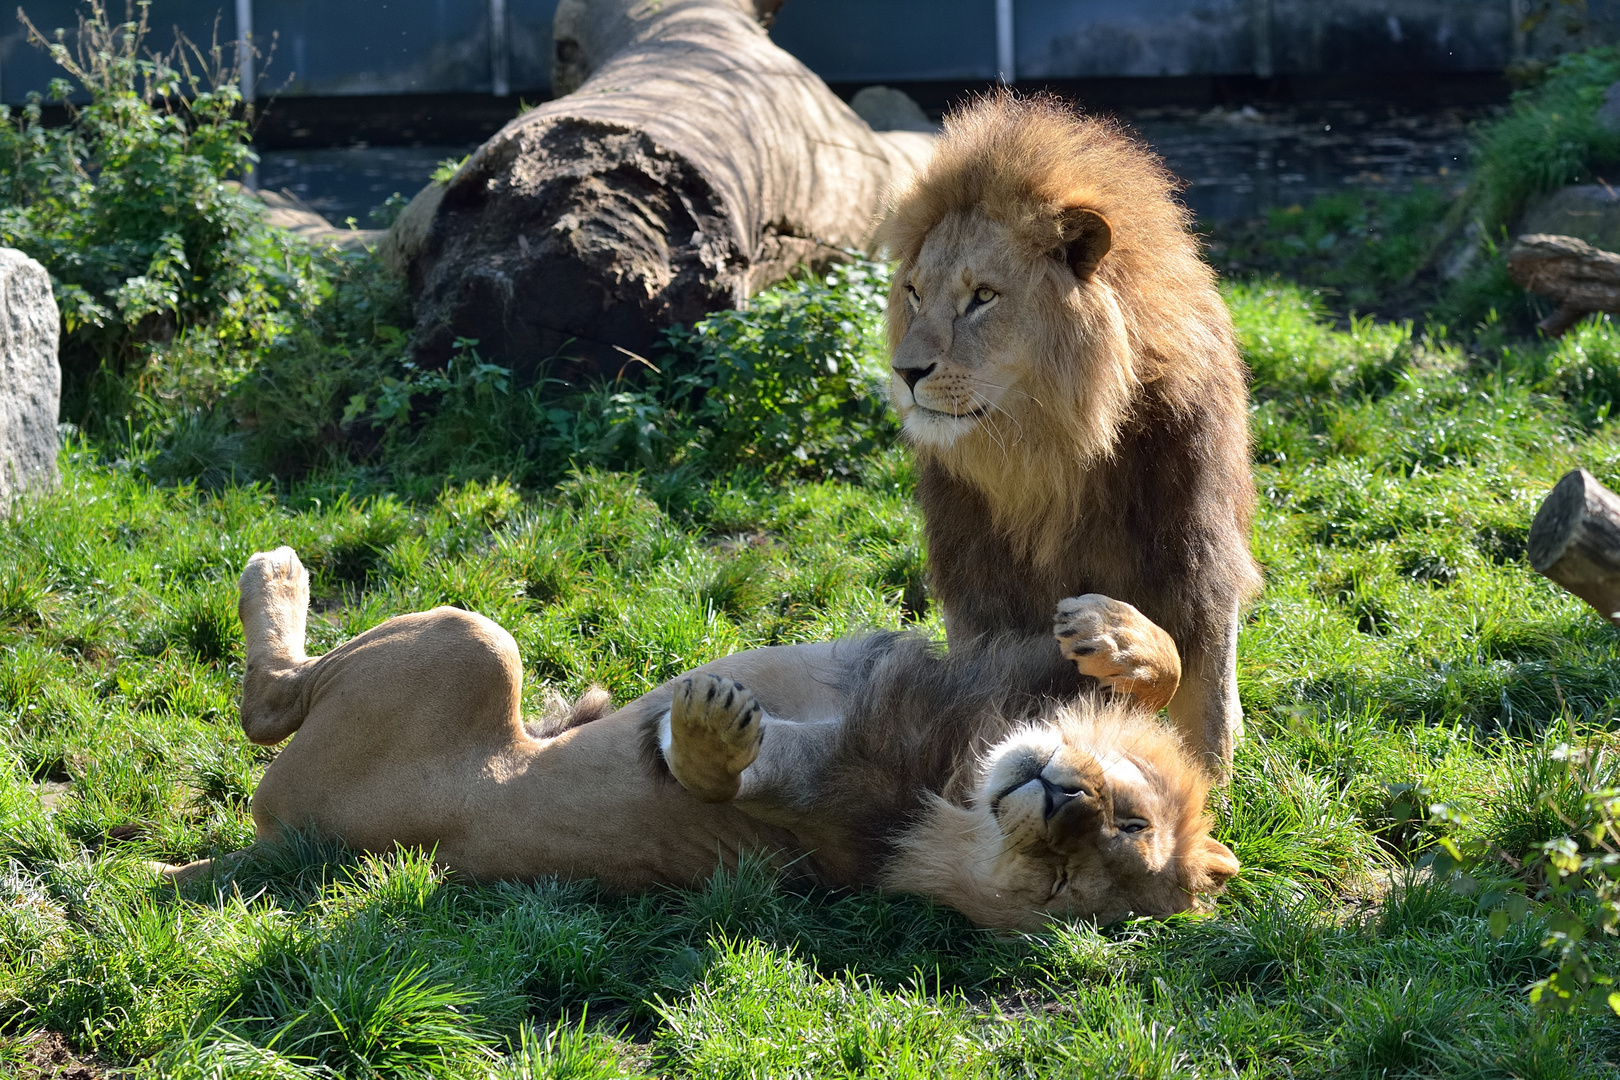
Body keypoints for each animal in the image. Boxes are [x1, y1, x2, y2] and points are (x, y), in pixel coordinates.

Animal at [160, 548, 1238, 930]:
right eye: (1130, 824)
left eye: (1062, 887)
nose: (1063, 802)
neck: (959, 783)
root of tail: (280, 844)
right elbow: (1172, 669)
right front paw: (1112, 633)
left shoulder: (828, 799)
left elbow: (738, 772)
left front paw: (706, 740)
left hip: (467, 644)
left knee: (265, 703)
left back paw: (274, 569)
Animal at [874, 92, 1261, 772]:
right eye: (914, 293)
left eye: (983, 296)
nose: (906, 371)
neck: (1046, 456)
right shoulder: (979, 608)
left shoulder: (1197, 571)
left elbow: (1198, 723)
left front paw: (1119, 640)